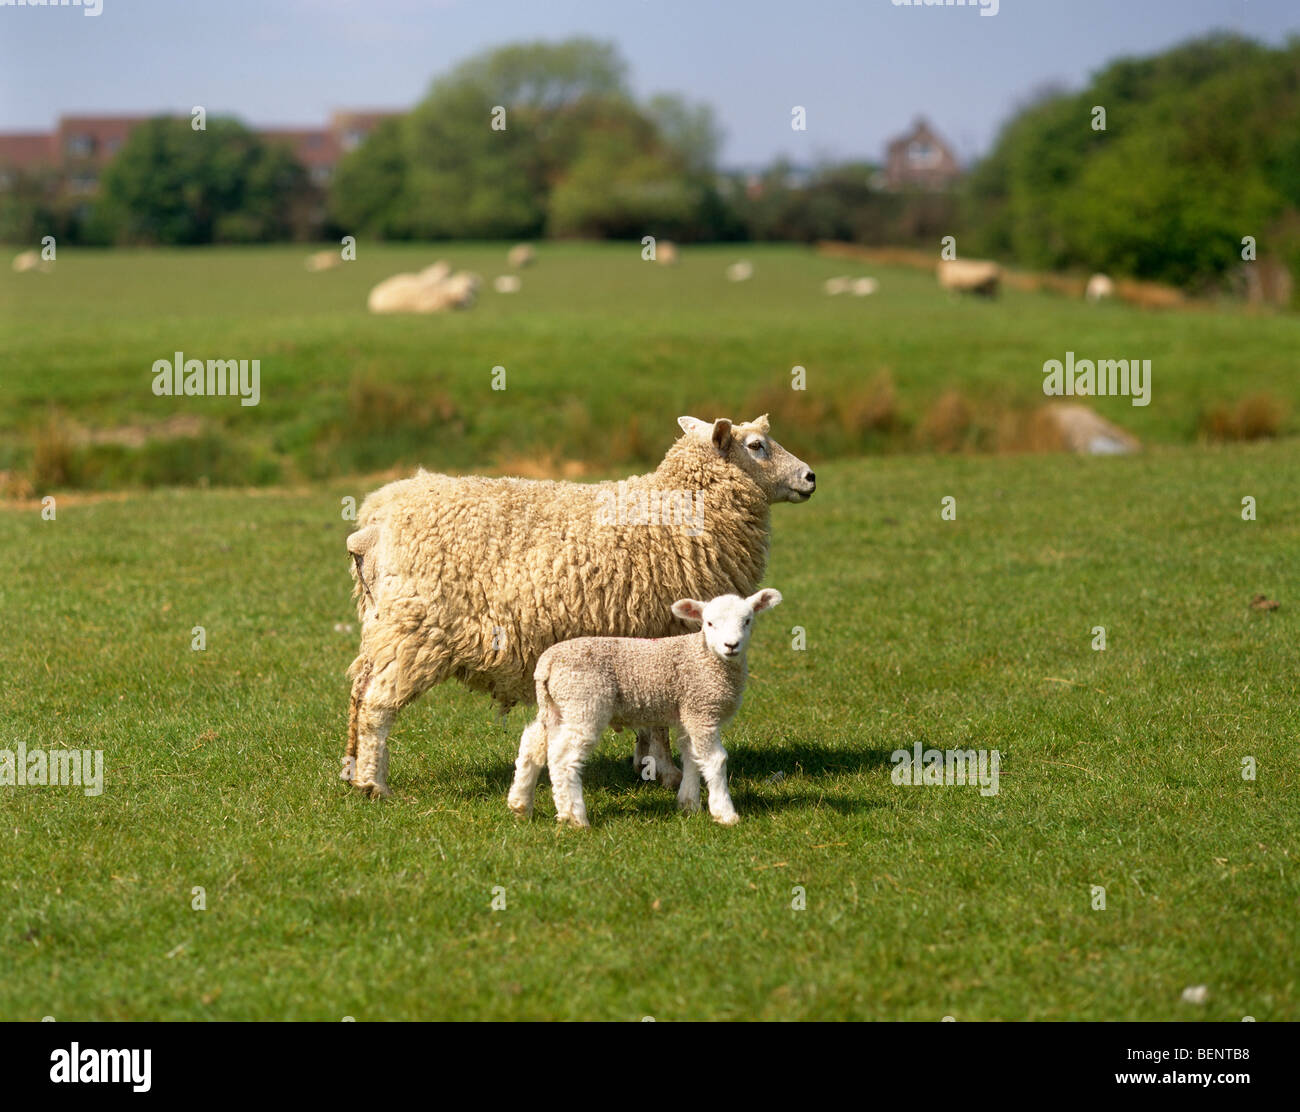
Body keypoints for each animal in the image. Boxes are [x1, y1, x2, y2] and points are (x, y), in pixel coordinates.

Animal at [342, 415, 816, 800]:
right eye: (756, 445)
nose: (811, 477)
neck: (680, 506)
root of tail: (371, 526)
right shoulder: (662, 631)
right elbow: (660, 721)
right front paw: (666, 772)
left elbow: (649, 716)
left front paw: (645, 766)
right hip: (413, 630)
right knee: (377, 704)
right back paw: (374, 784)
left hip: (382, 626)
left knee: (358, 691)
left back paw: (350, 771)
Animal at [508, 589, 783, 827]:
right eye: (709, 623)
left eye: (747, 620)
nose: (731, 645)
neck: (705, 657)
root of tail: (547, 663)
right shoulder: (702, 709)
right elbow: (715, 759)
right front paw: (724, 813)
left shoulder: (688, 711)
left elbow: (690, 754)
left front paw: (688, 804)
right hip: (585, 703)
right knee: (563, 758)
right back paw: (576, 818)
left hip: (557, 706)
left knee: (534, 744)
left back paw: (523, 804)